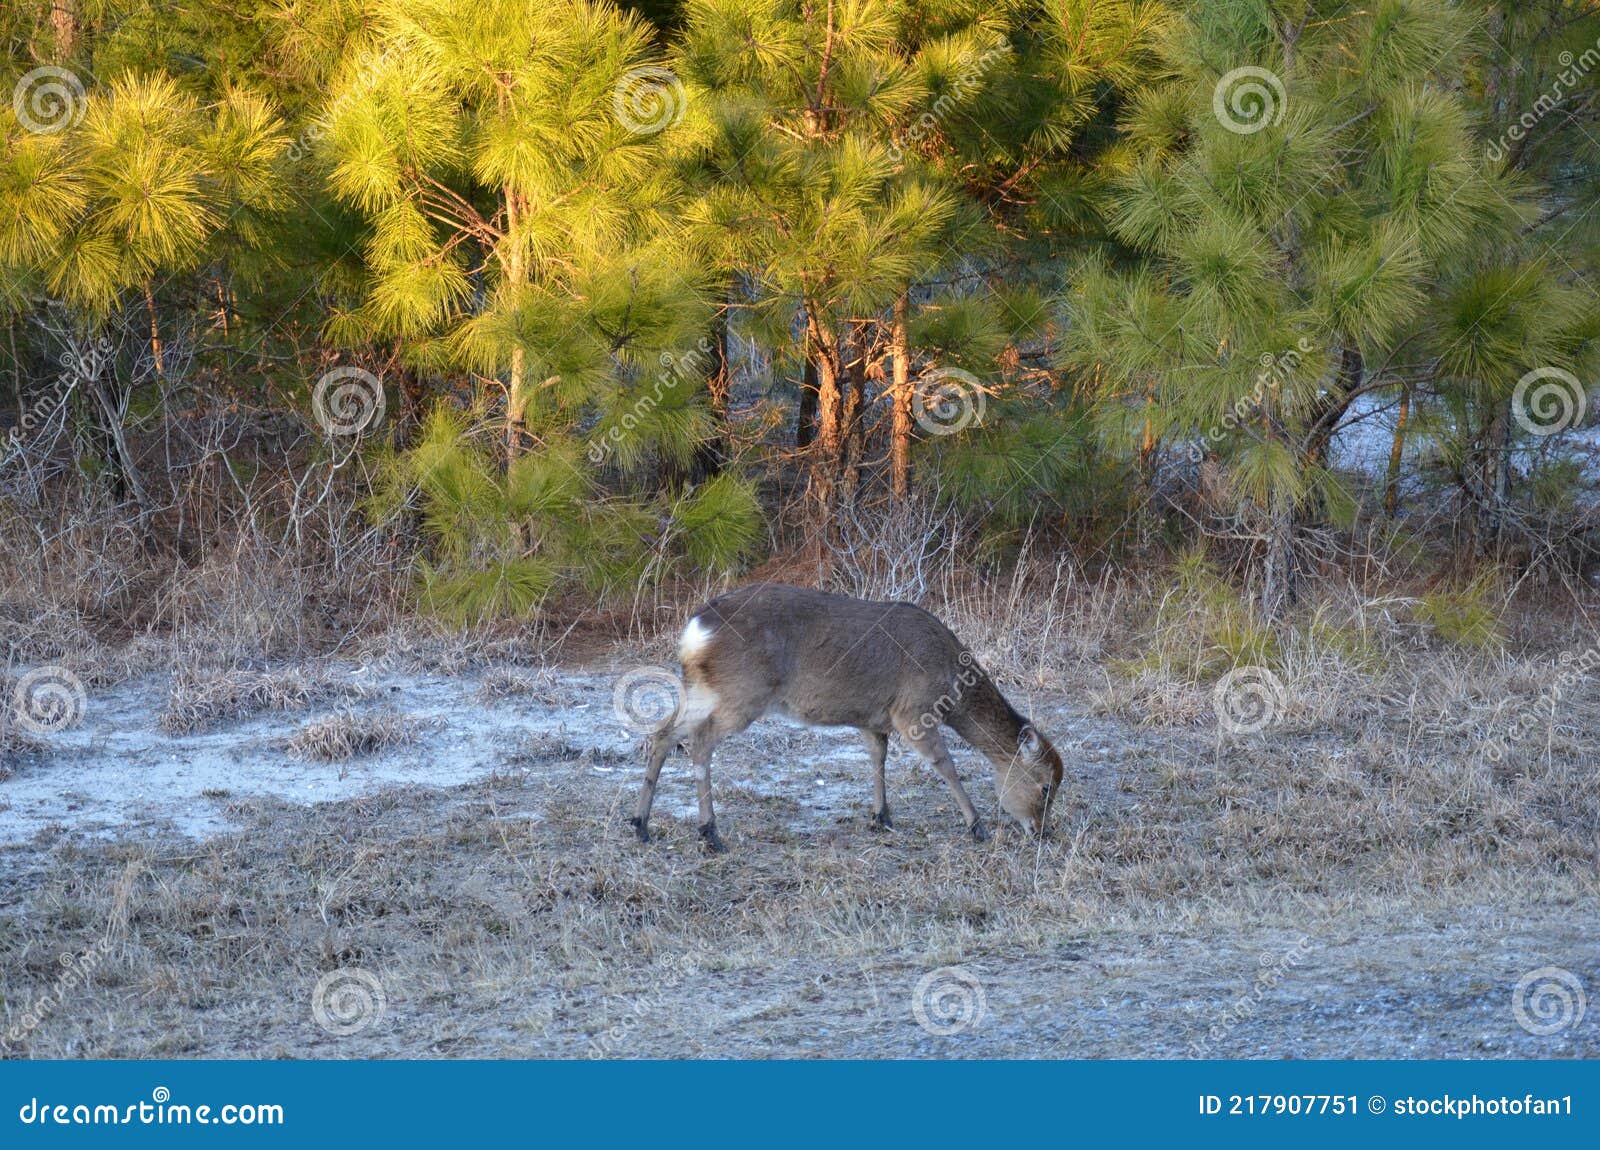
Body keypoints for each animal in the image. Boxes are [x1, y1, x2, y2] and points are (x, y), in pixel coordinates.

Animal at [629, 584, 1064, 853]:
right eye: (1045, 787)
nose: (1041, 831)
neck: (952, 681)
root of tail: (694, 631)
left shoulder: (874, 720)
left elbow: (877, 759)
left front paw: (881, 818)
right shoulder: (913, 711)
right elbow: (947, 766)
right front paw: (977, 826)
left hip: (705, 688)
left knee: (665, 731)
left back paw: (641, 825)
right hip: (742, 692)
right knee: (699, 742)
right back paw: (711, 834)